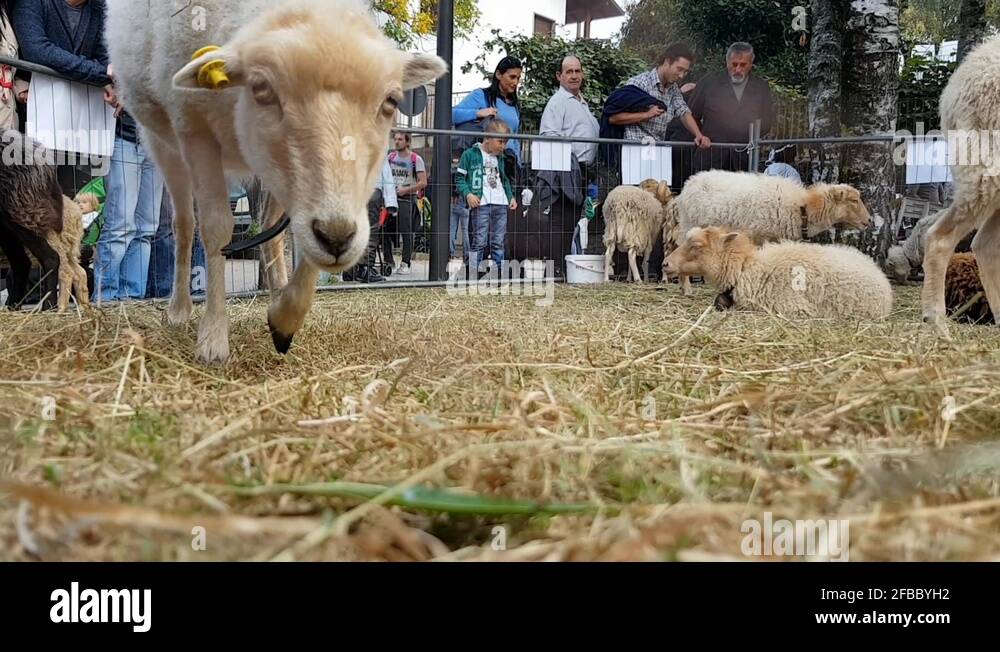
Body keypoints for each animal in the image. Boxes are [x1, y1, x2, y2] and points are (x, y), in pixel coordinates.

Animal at [104, 0, 447, 363]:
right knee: (183, 226)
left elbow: (300, 238)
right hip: (161, 142)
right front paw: (213, 336)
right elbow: (215, 229)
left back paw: (277, 293)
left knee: (269, 228)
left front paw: (285, 316)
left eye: (392, 101)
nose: (337, 238)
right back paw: (179, 309)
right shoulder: (194, 129)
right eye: (261, 89)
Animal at [673, 170, 872, 295]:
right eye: (854, 200)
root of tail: (689, 183)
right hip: (688, 223)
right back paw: (686, 289)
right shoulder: (759, 234)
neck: (802, 208)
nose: (869, 221)